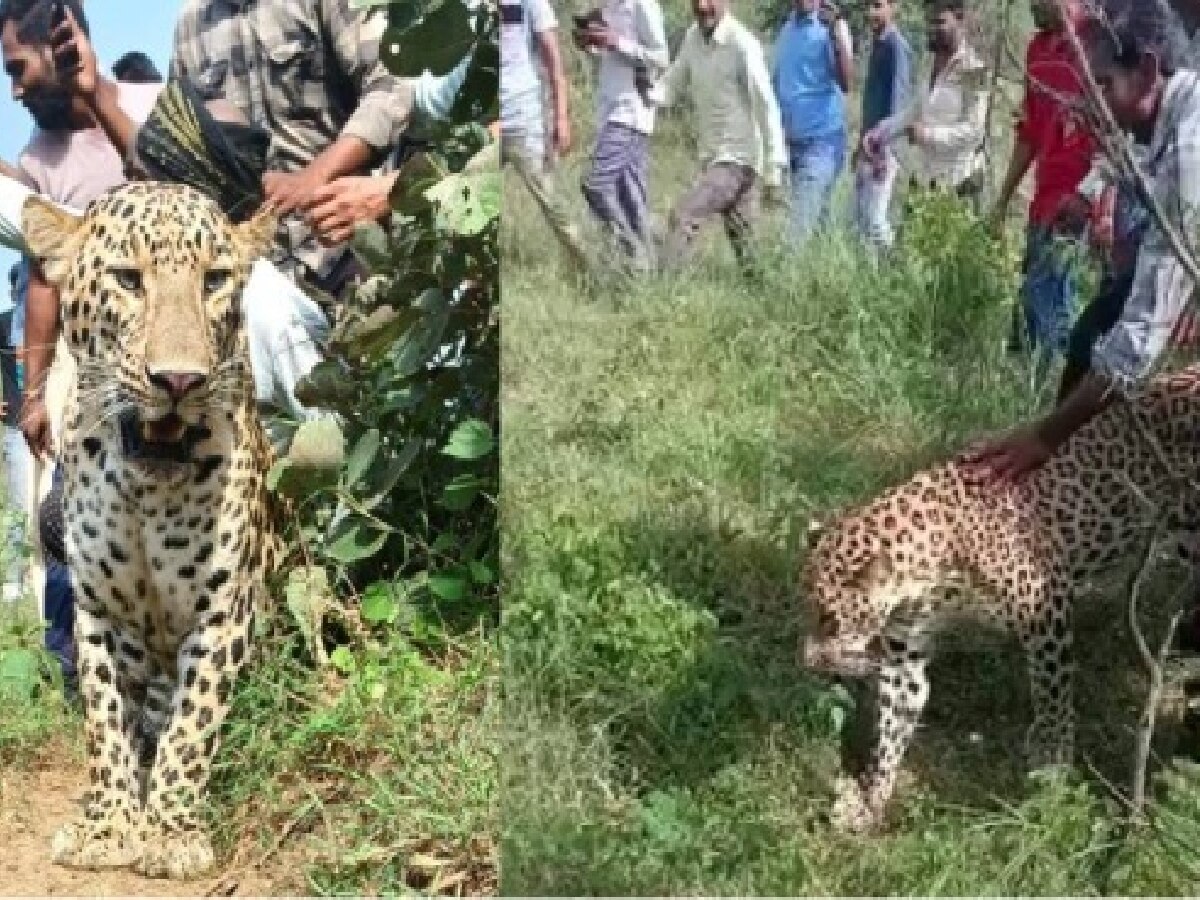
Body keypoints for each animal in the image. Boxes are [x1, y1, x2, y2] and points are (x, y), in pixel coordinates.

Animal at [22, 181, 280, 879]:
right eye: (128, 279)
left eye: (214, 280)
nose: (179, 380)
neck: (147, 492)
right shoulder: (97, 613)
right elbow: (104, 719)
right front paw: (110, 822)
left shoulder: (221, 613)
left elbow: (193, 727)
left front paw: (168, 832)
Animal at [801, 363, 1200, 835]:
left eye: (830, 618)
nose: (808, 662)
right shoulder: (902, 662)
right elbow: (891, 730)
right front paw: (870, 800)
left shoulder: (1047, 611)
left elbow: (1052, 694)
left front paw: (1052, 763)